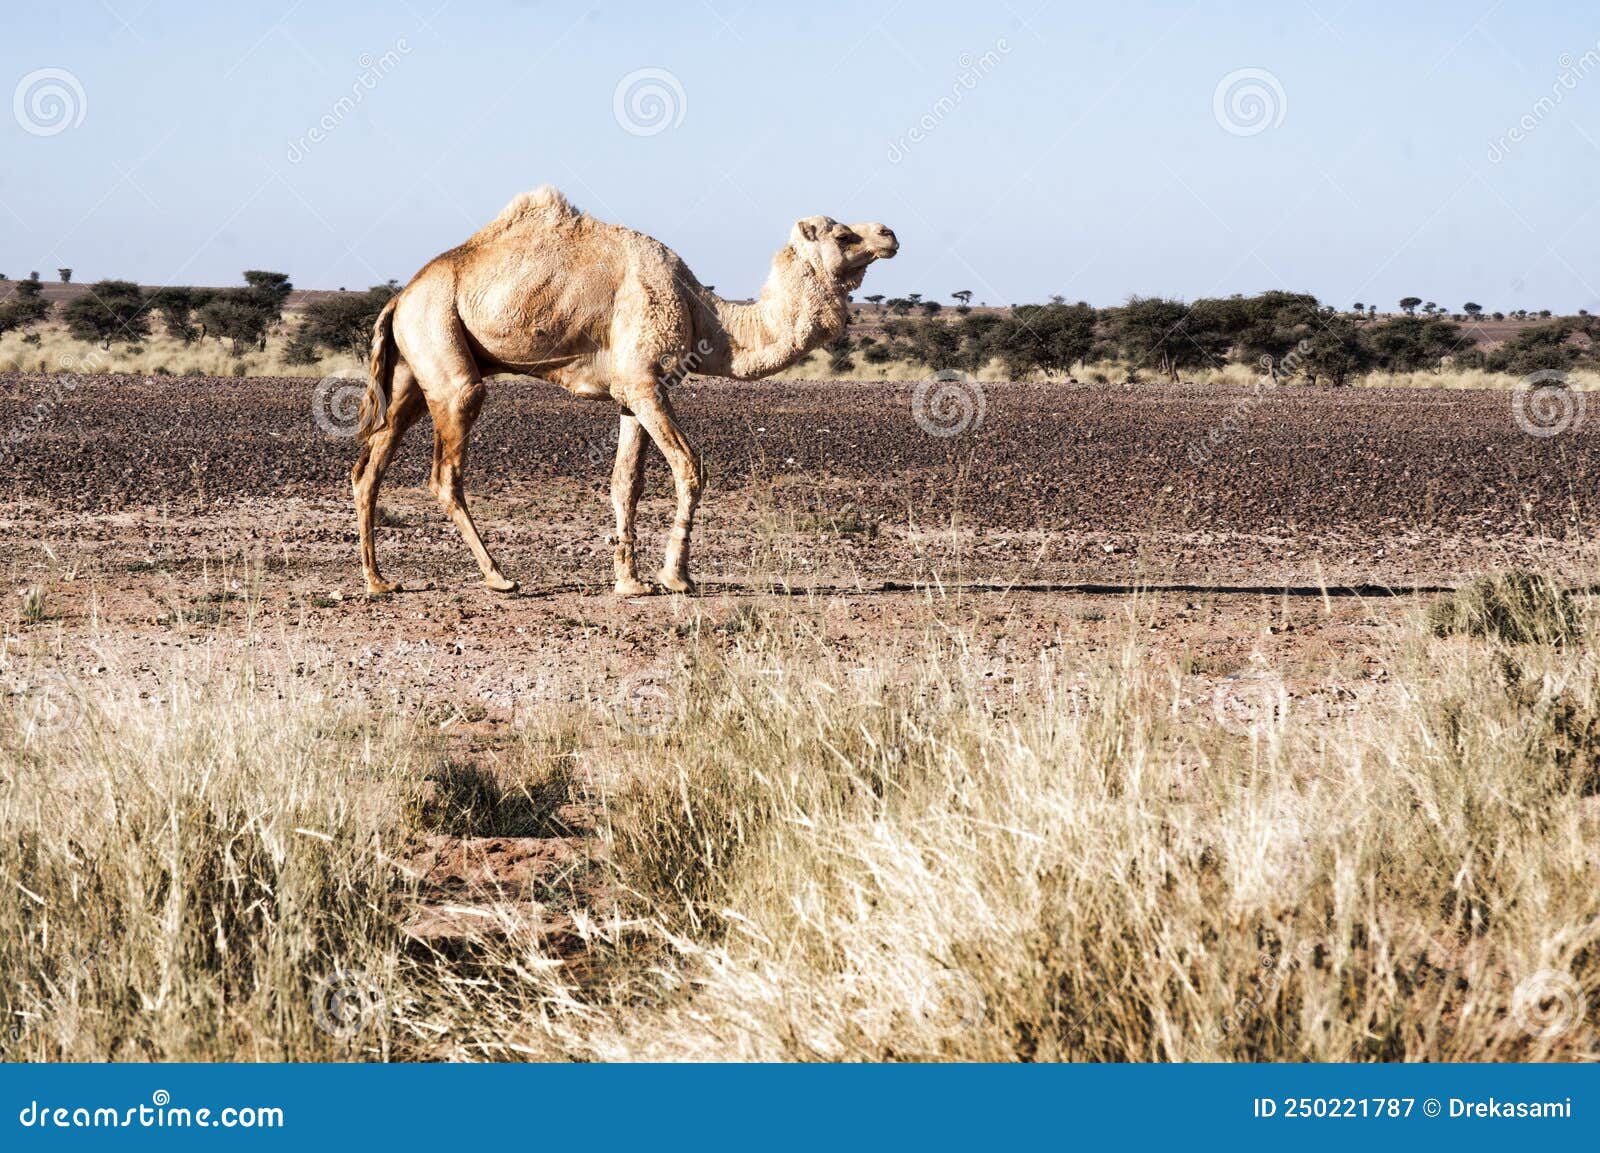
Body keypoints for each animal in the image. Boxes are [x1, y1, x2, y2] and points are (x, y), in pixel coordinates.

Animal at [351, 186, 897, 596]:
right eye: (844, 234)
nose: (889, 233)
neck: (706, 315)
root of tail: (400, 297)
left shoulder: (631, 394)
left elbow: (625, 483)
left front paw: (629, 581)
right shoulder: (644, 383)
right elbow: (689, 466)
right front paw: (676, 577)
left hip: (413, 372)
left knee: (369, 465)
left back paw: (379, 581)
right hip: (446, 355)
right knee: (445, 471)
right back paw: (498, 577)